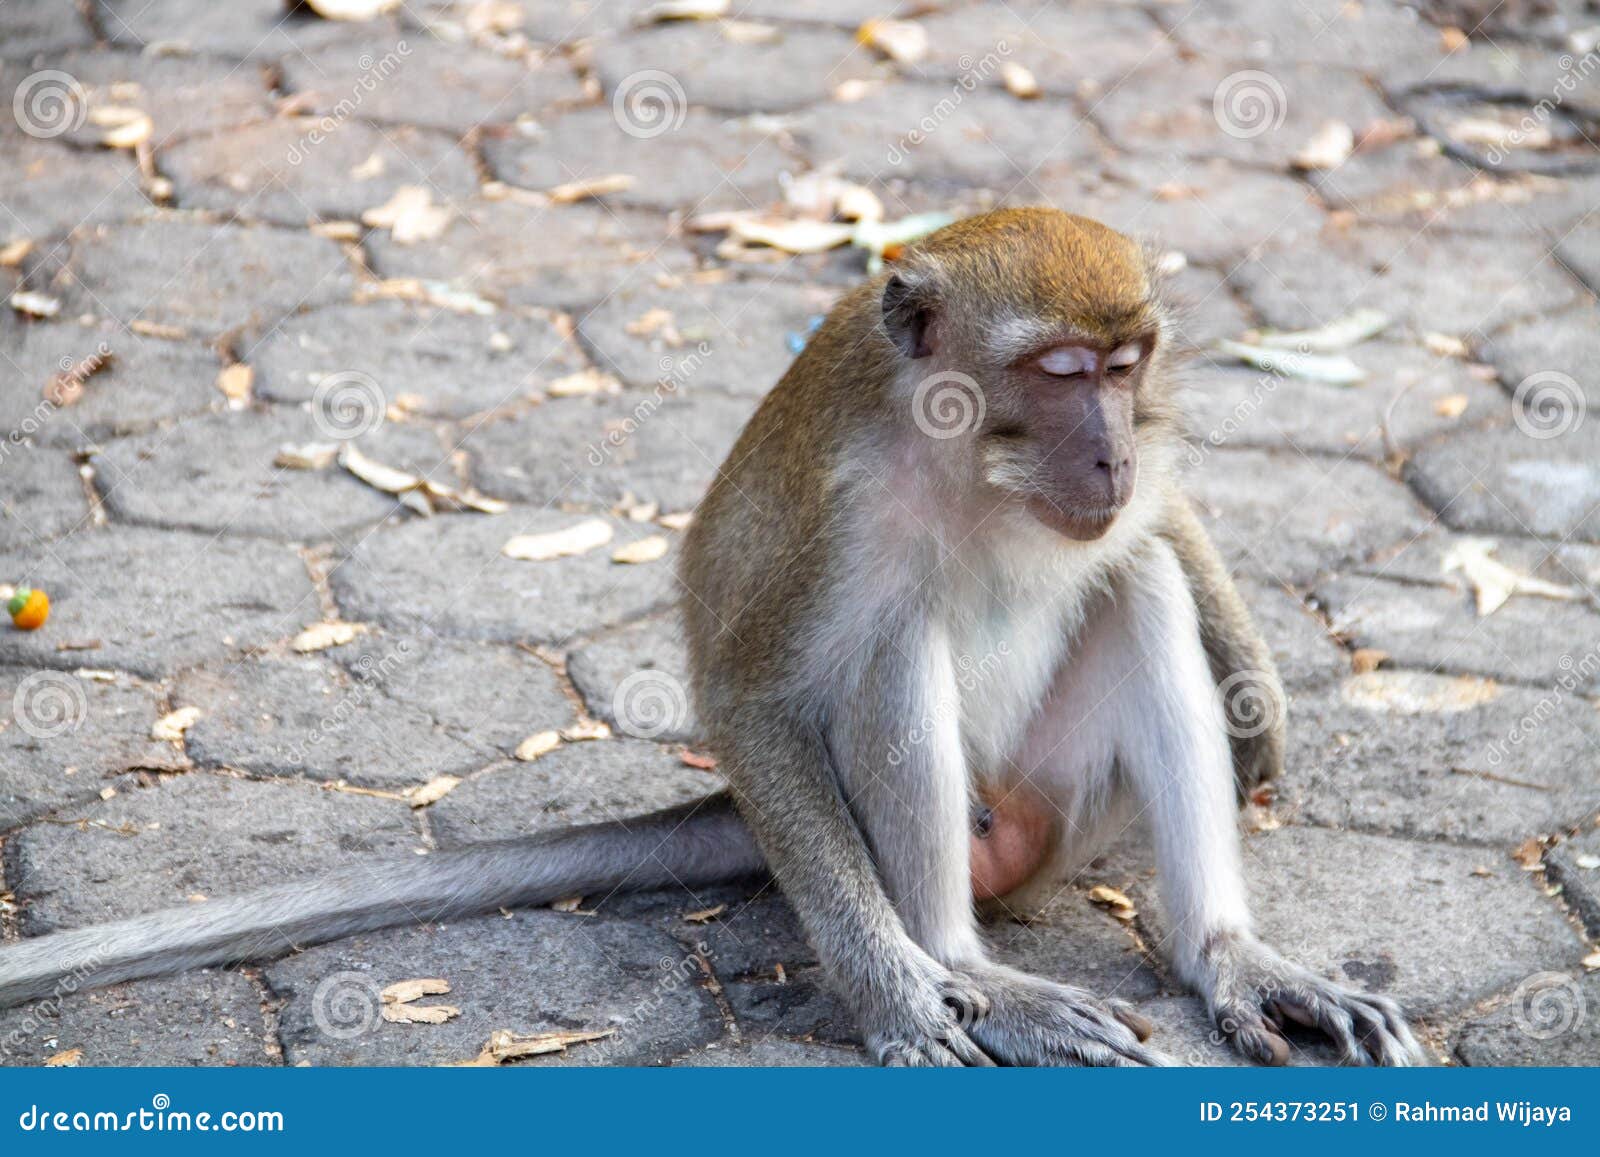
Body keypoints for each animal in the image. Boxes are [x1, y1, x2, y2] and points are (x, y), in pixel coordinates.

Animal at [0, 208, 1419, 1067]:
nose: (1112, 448)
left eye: (1126, 368)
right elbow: (753, 696)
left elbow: (1155, 537)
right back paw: (967, 966)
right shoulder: (834, 510)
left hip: (1069, 804)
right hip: (968, 828)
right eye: (1059, 372)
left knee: (1134, 587)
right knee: (891, 652)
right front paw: (897, 994)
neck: (968, 459)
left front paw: (1255, 689)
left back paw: (1229, 959)